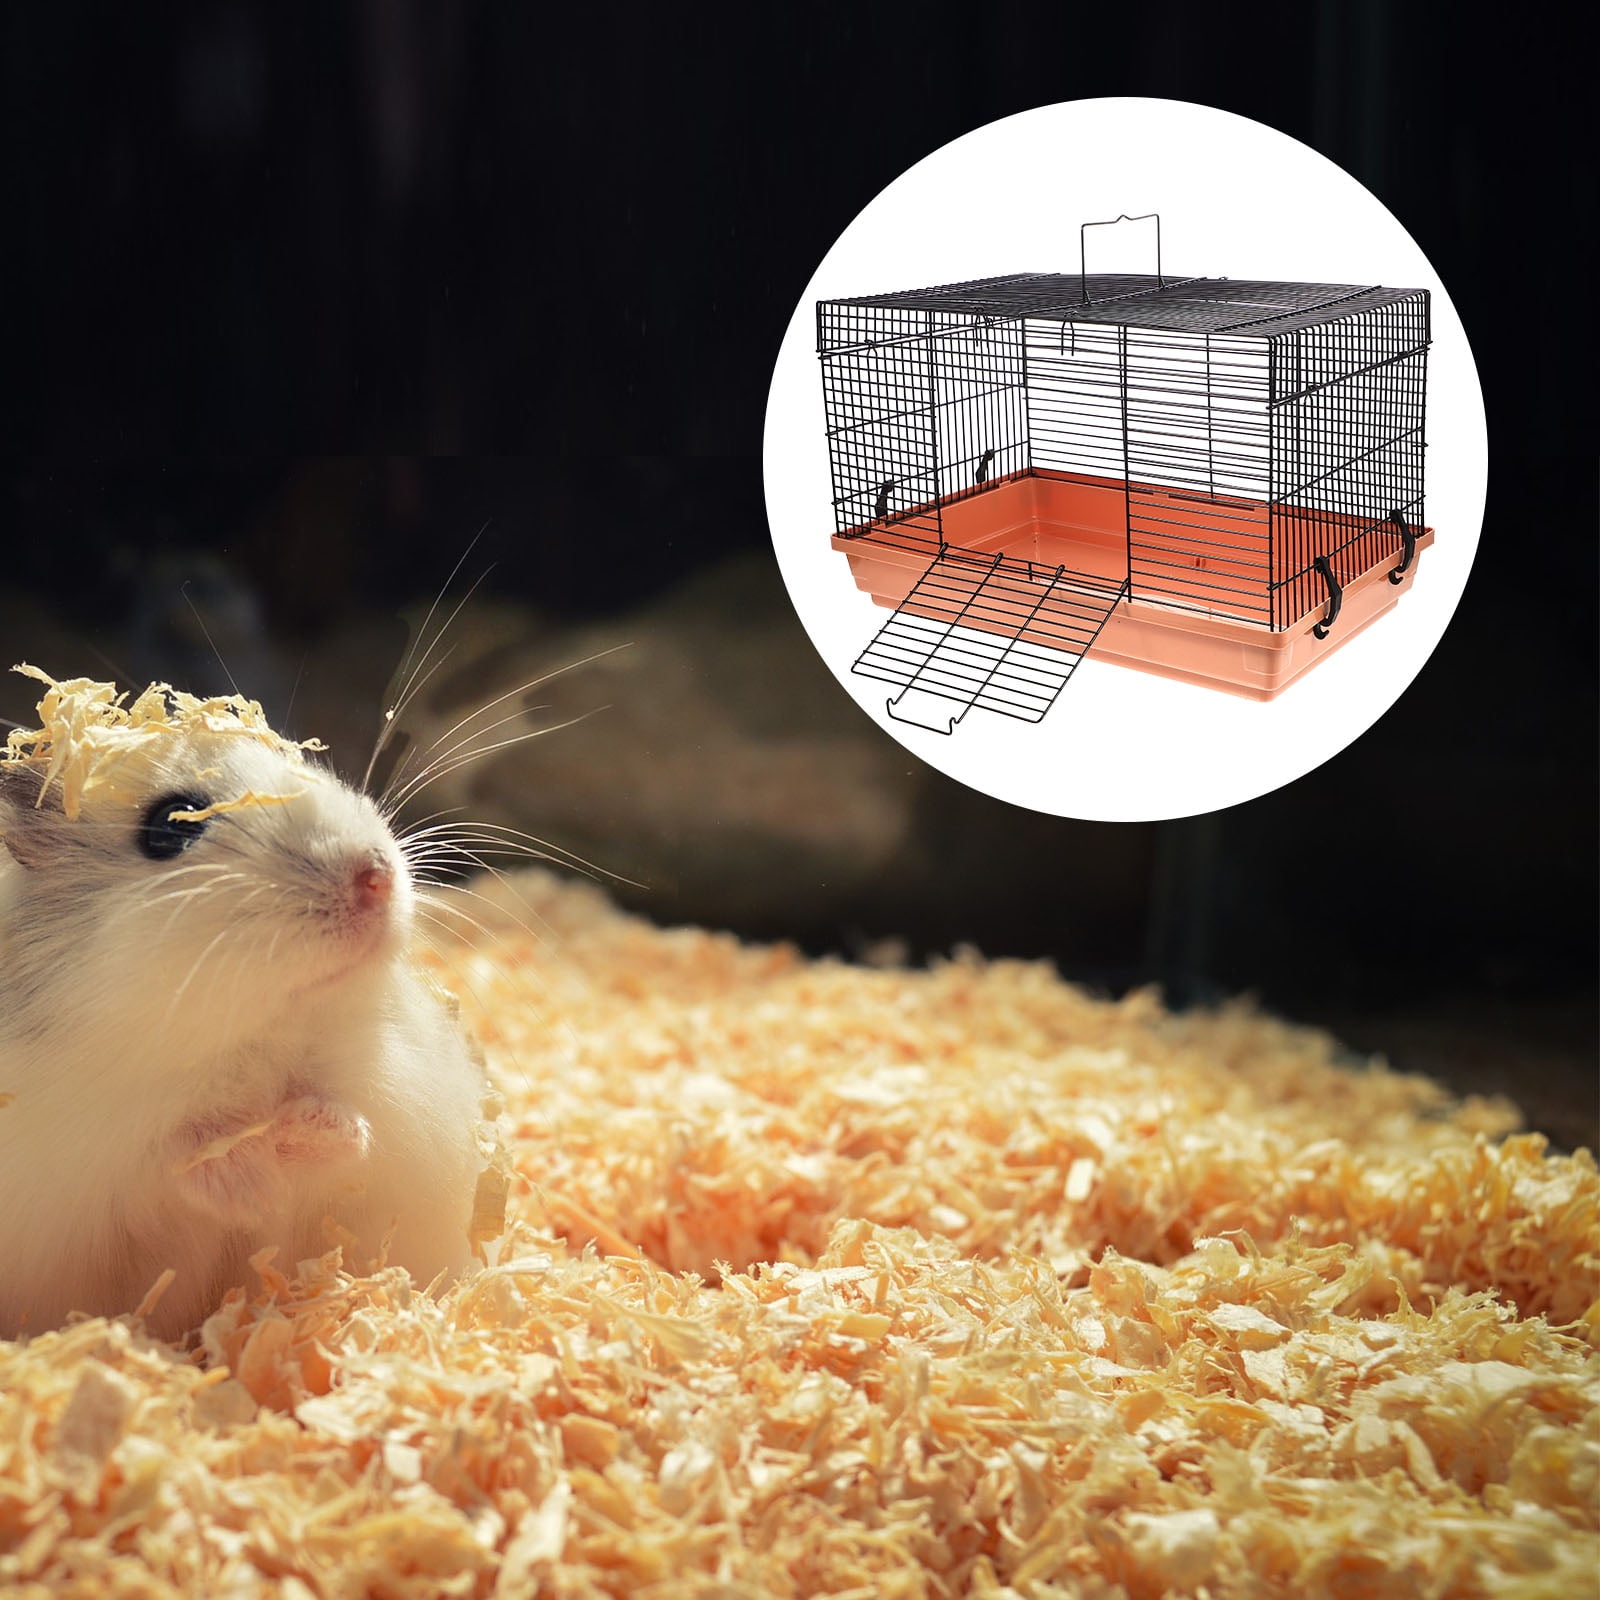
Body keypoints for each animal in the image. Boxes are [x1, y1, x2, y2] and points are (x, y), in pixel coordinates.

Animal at [0, 668, 491, 1341]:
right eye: (172, 825)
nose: (376, 878)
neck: (254, 1037)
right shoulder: (94, 1148)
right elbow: (176, 1156)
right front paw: (254, 1181)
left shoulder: (396, 1092)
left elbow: (351, 1124)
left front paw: (301, 1136)